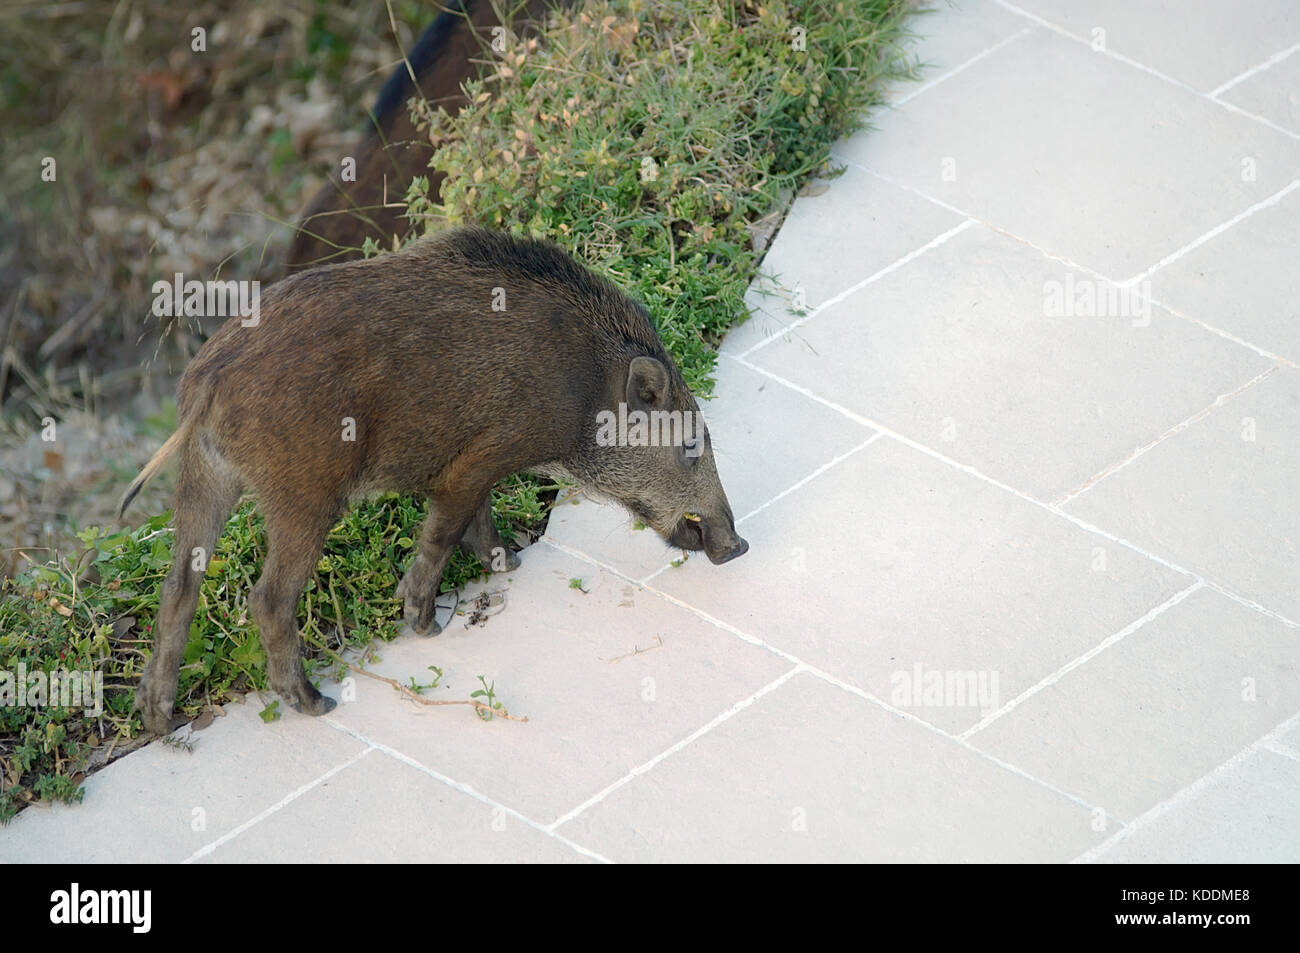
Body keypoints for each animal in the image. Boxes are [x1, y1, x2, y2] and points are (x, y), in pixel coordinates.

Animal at [120, 227, 748, 734]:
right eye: (691, 445)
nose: (738, 545)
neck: (585, 393)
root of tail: (207, 381)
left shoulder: (479, 461)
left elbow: (478, 518)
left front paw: (507, 563)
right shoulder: (479, 456)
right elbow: (447, 529)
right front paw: (425, 624)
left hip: (205, 479)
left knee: (178, 588)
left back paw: (159, 719)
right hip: (303, 492)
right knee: (269, 599)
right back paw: (314, 702)